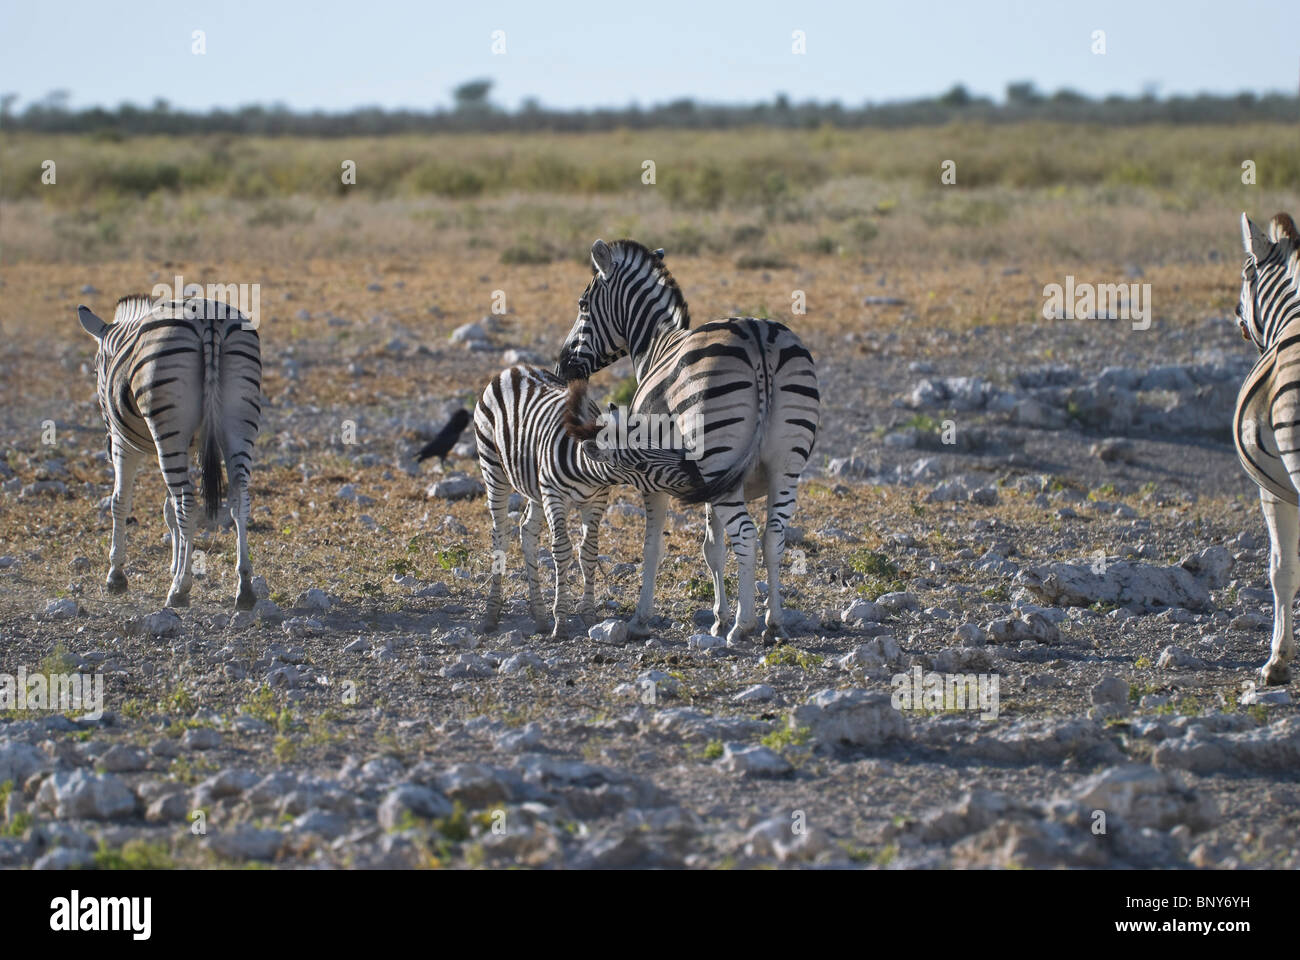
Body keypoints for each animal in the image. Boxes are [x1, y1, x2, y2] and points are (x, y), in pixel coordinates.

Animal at [75, 295, 262, 610]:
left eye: (95, 369)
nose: (105, 446)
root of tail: (208, 319)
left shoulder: (125, 445)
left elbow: (119, 502)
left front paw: (116, 575)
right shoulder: (186, 446)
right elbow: (168, 510)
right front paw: (175, 565)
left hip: (167, 431)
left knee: (188, 502)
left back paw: (180, 590)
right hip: (237, 424)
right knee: (239, 501)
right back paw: (245, 588)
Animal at [475, 364, 700, 637]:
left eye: (657, 445)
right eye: (641, 465)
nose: (693, 470)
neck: (583, 468)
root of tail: (515, 368)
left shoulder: (597, 499)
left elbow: (589, 551)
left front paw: (589, 615)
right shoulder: (554, 496)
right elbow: (561, 550)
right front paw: (561, 621)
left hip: (534, 488)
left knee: (527, 531)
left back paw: (539, 616)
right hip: (493, 467)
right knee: (500, 534)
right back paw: (491, 614)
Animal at [556, 239, 820, 643]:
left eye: (583, 304)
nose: (561, 367)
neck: (657, 346)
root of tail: (758, 333)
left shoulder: (649, 473)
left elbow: (652, 547)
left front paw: (640, 619)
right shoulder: (712, 482)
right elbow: (713, 548)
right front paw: (718, 617)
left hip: (722, 456)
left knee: (746, 535)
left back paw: (744, 626)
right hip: (783, 464)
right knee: (773, 538)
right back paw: (773, 623)